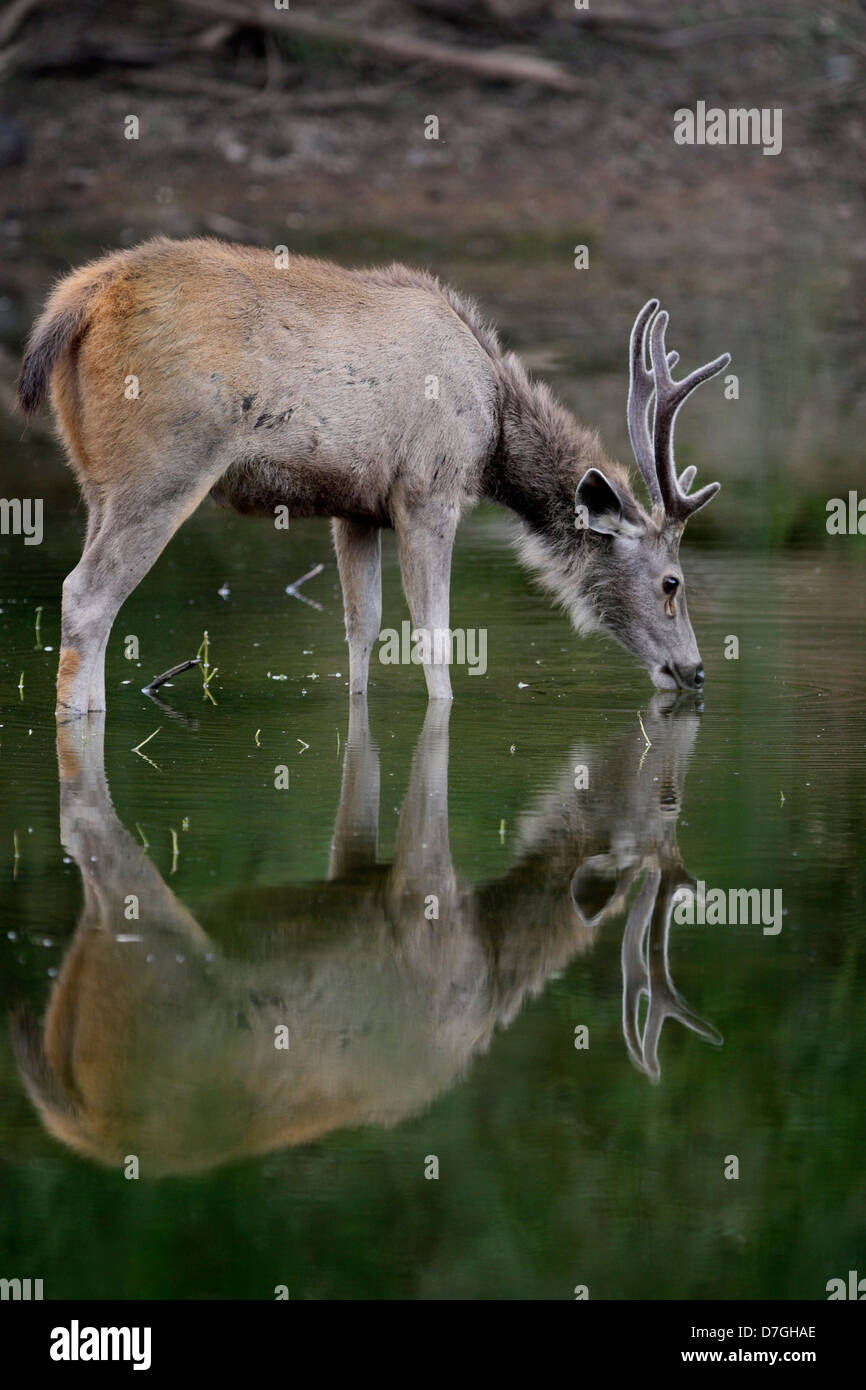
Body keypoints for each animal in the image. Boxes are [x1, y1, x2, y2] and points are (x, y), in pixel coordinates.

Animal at [16, 237, 730, 715]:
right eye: (672, 582)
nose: (695, 670)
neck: (493, 430)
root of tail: (79, 301)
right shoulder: (428, 490)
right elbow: (435, 636)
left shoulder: (355, 508)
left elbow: (362, 630)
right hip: (165, 463)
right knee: (86, 595)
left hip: (96, 480)